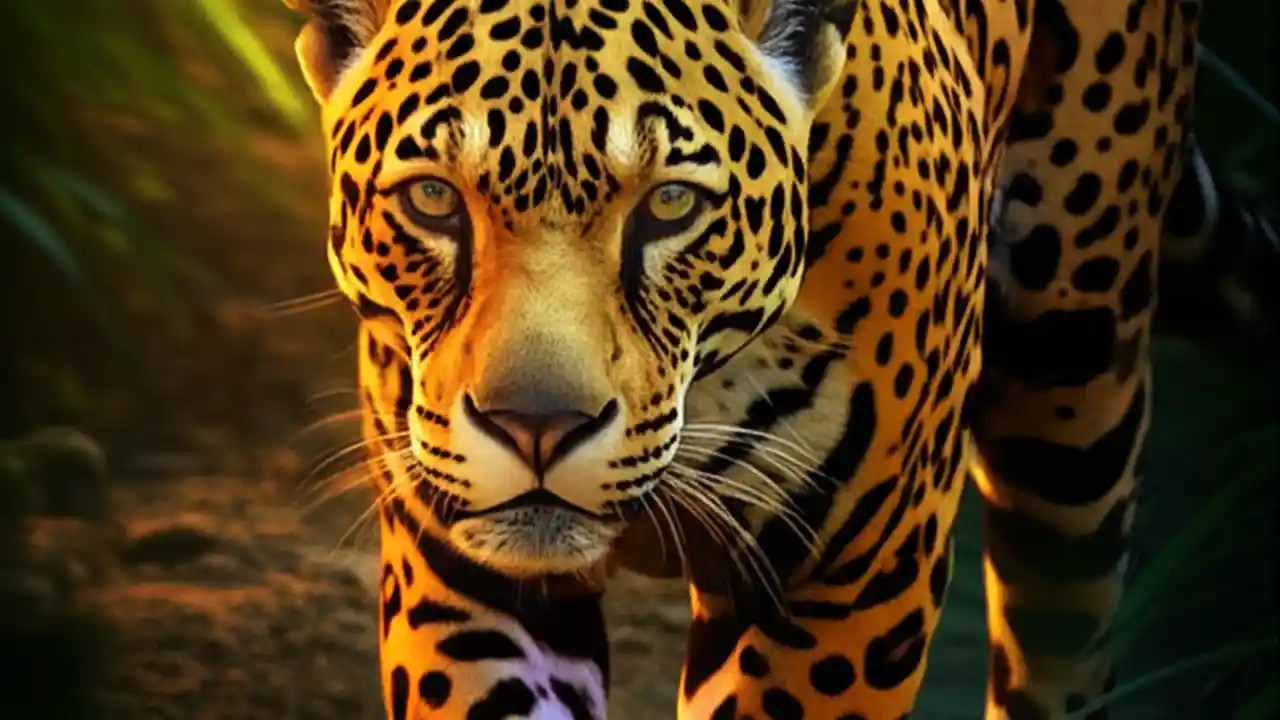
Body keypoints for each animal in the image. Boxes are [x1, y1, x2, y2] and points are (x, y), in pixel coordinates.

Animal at [275, 0, 1238, 717]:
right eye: (434, 200)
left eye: (670, 205)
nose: (537, 428)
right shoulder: (463, 576)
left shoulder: (851, 582)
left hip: (1076, 390)